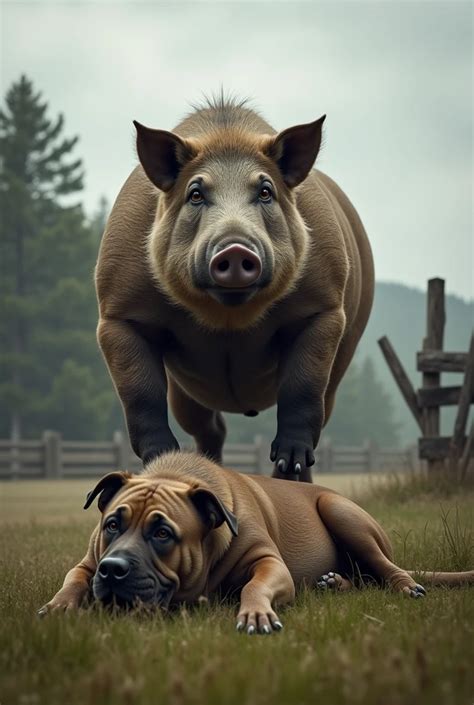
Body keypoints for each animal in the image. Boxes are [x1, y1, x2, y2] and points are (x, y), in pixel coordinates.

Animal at [95, 97, 374, 482]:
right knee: (209, 428)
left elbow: (301, 391)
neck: (229, 318)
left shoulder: (325, 308)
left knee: (318, 414)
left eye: (265, 191)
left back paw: (291, 477)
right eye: (195, 194)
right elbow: (142, 395)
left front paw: (288, 462)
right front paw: (158, 460)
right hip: (185, 393)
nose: (235, 247)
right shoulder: (116, 314)